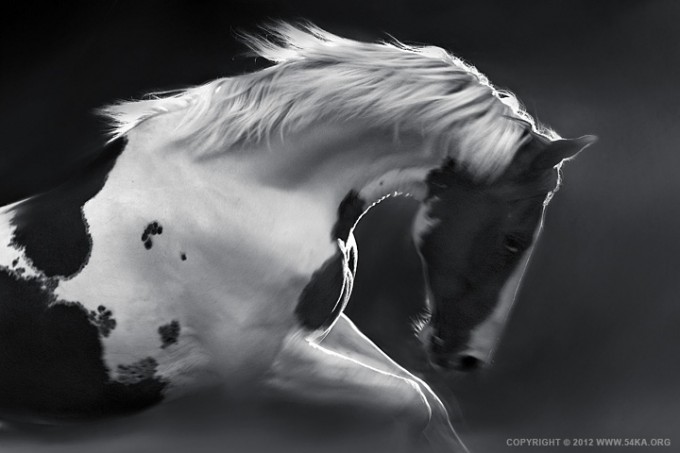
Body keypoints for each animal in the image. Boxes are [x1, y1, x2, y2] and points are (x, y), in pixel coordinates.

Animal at [0, 22, 594, 452]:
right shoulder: (265, 368)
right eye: (514, 240)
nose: (469, 359)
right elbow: (414, 402)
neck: (240, 190)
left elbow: (430, 403)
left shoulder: (319, 331)